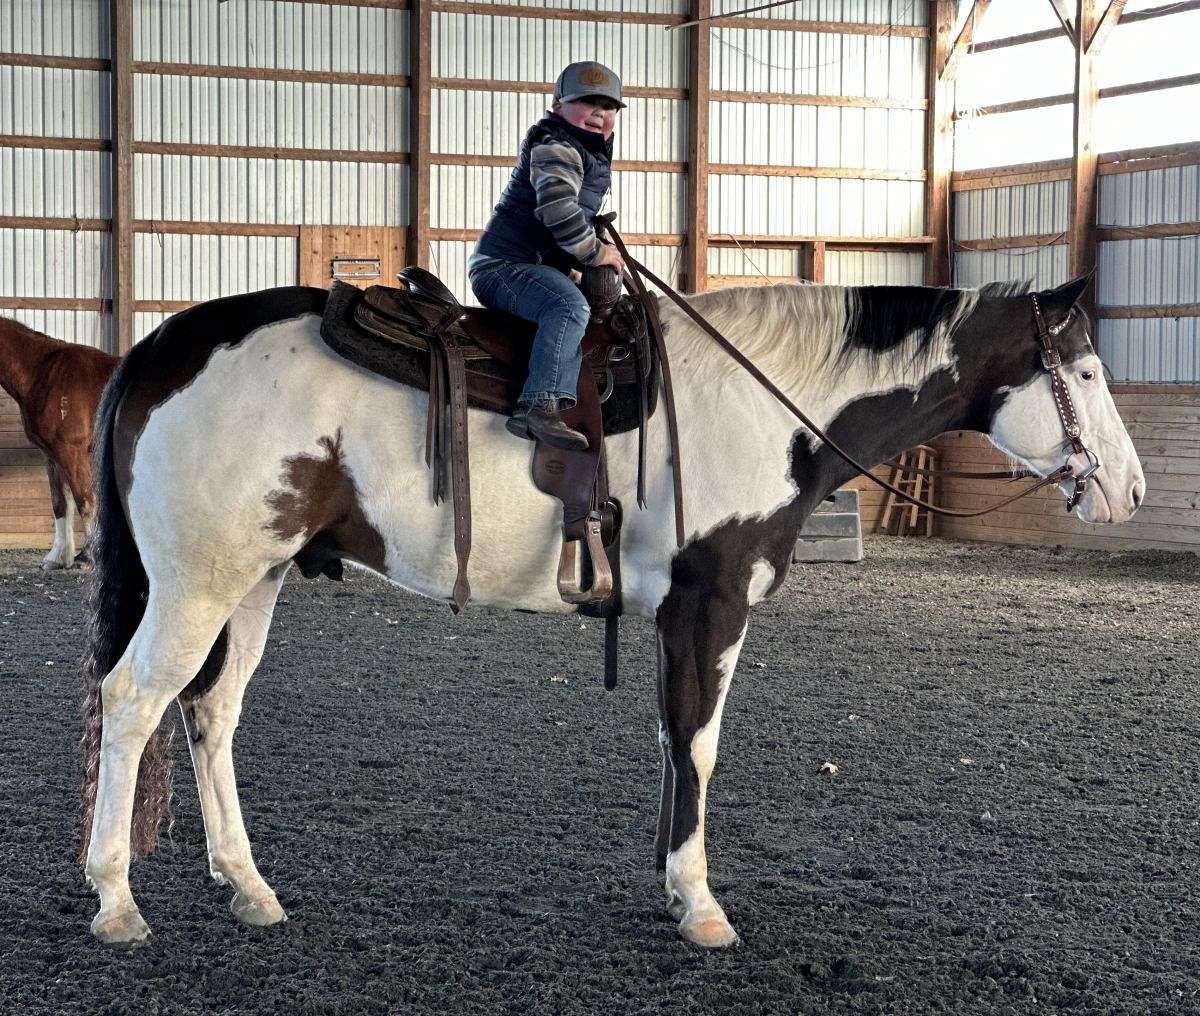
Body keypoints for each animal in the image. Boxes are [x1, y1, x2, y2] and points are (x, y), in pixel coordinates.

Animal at [0, 316, 118, 568]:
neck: (43, 373)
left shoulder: (72, 451)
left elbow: (85, 500)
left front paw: (87, 557)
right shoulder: (52, 455)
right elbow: (59, 503)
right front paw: (57, 556)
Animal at [78, 274, 1144, 948]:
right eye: (1088, 373)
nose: (1129, 491)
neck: (764, 404)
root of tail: (164, 343)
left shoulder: (677, 613)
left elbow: (673, 741)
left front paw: (673, 886)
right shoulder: (712, 600)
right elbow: (699, 743)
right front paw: (701, 904)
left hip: (253, 580)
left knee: (211, 713)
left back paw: (249, 888)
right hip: (200, 581)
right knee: (133, 703)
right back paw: (117, 902)